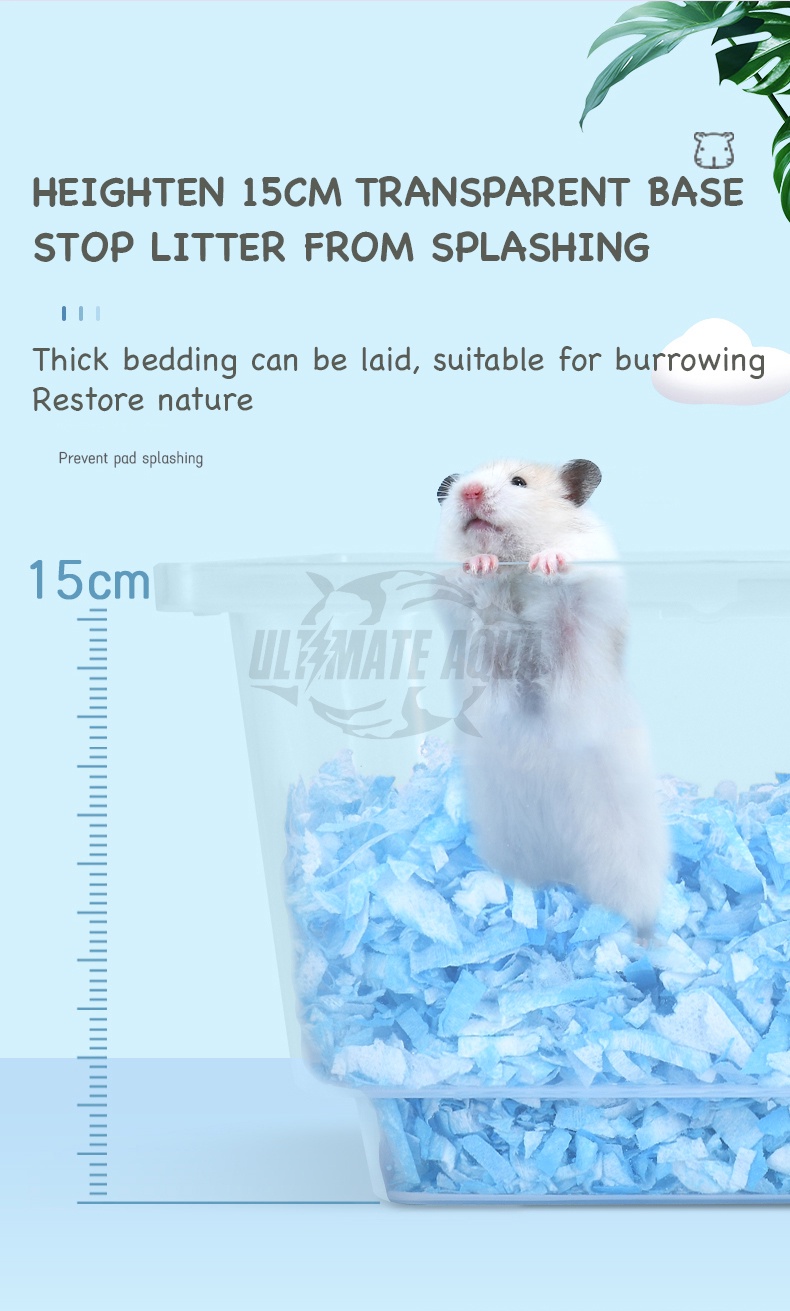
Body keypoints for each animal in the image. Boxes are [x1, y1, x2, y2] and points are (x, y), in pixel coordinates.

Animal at [436, 458, 668, 938]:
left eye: (519, 482)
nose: (468, 492)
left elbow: (571, 568)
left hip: (622, 856)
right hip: (509, 839)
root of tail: (562, 867)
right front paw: (481, 562)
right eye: (459, 484)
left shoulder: (597, 568)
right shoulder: (451, 590)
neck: (513, 568)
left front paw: (546, 561)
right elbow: (469, 582)